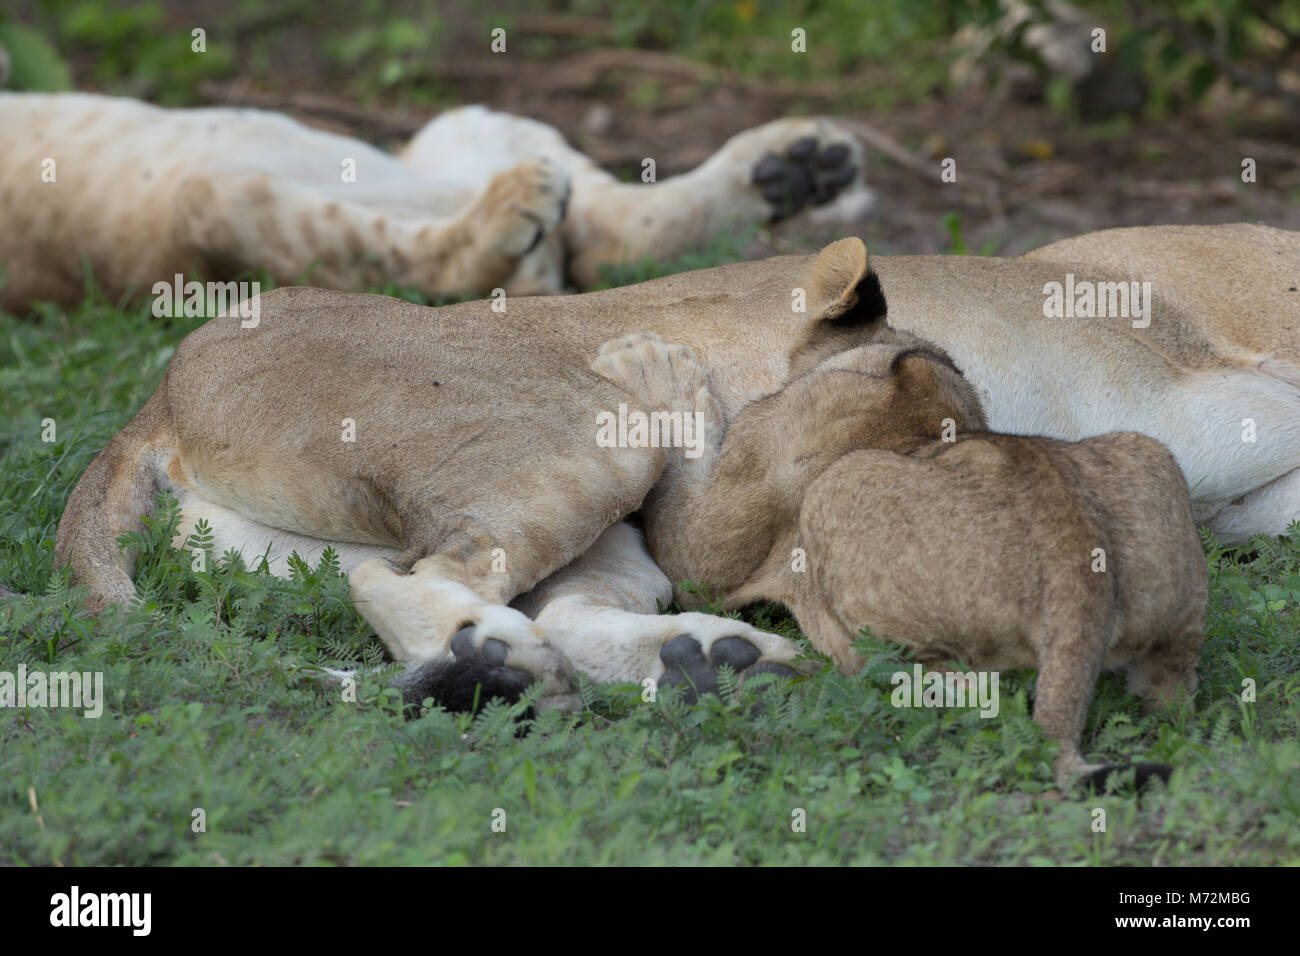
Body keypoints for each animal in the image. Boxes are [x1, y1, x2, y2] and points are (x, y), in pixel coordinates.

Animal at [50, 226, 1298, 714]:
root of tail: (161, 391)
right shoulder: (1217, 396)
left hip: (600, 517)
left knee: (561, 605)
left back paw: (698, 662)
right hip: (587, 433)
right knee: (409, 577)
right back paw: (497, 661)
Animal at [590, 329, 1206, 788]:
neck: (906, 401)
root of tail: (1075, 570)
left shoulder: (706, 558)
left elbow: (686, 456)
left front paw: (646, 364)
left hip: (835, 493)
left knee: (950, 688)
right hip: (1145, 455)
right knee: (1171, 696)